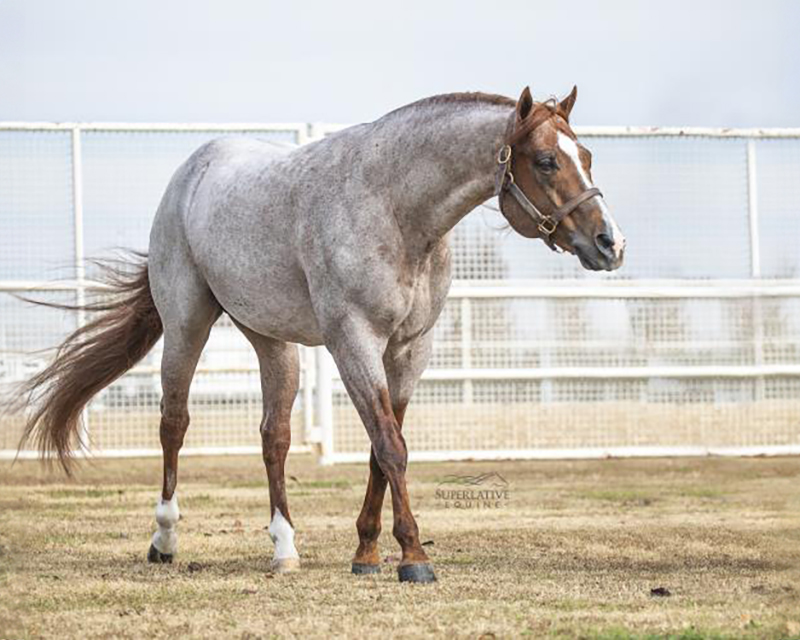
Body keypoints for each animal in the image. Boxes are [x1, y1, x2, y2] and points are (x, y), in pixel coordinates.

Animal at [17, 86, 625, 583]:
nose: (610, 243)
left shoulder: (410, 350)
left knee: (275, 438)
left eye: (587, 157)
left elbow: (382, 448)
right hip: (186, 323)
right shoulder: (352, 340)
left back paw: (284, 547)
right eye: (546, 161)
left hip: (273, 343)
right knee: (174, 423)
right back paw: (165, 539)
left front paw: (367, 553)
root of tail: (194, 170)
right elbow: (391, 447)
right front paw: (413, 559)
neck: (393, 209)